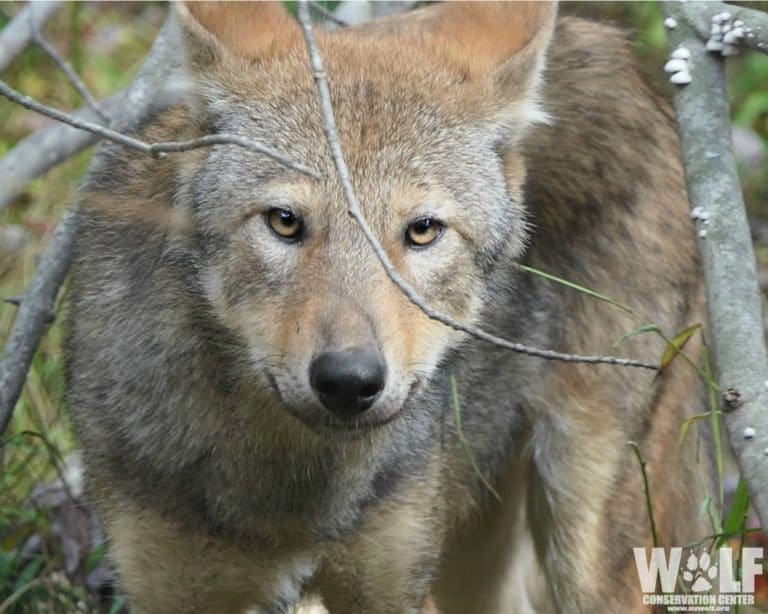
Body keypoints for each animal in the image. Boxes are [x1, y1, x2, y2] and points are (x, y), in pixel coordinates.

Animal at [65, 2, 710, 612]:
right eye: (285, 221)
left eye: (422, 231)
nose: (348, 381)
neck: (291, 494)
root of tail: (619, 56)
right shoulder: (167, 589)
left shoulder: (392, 586)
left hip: (584, 549)